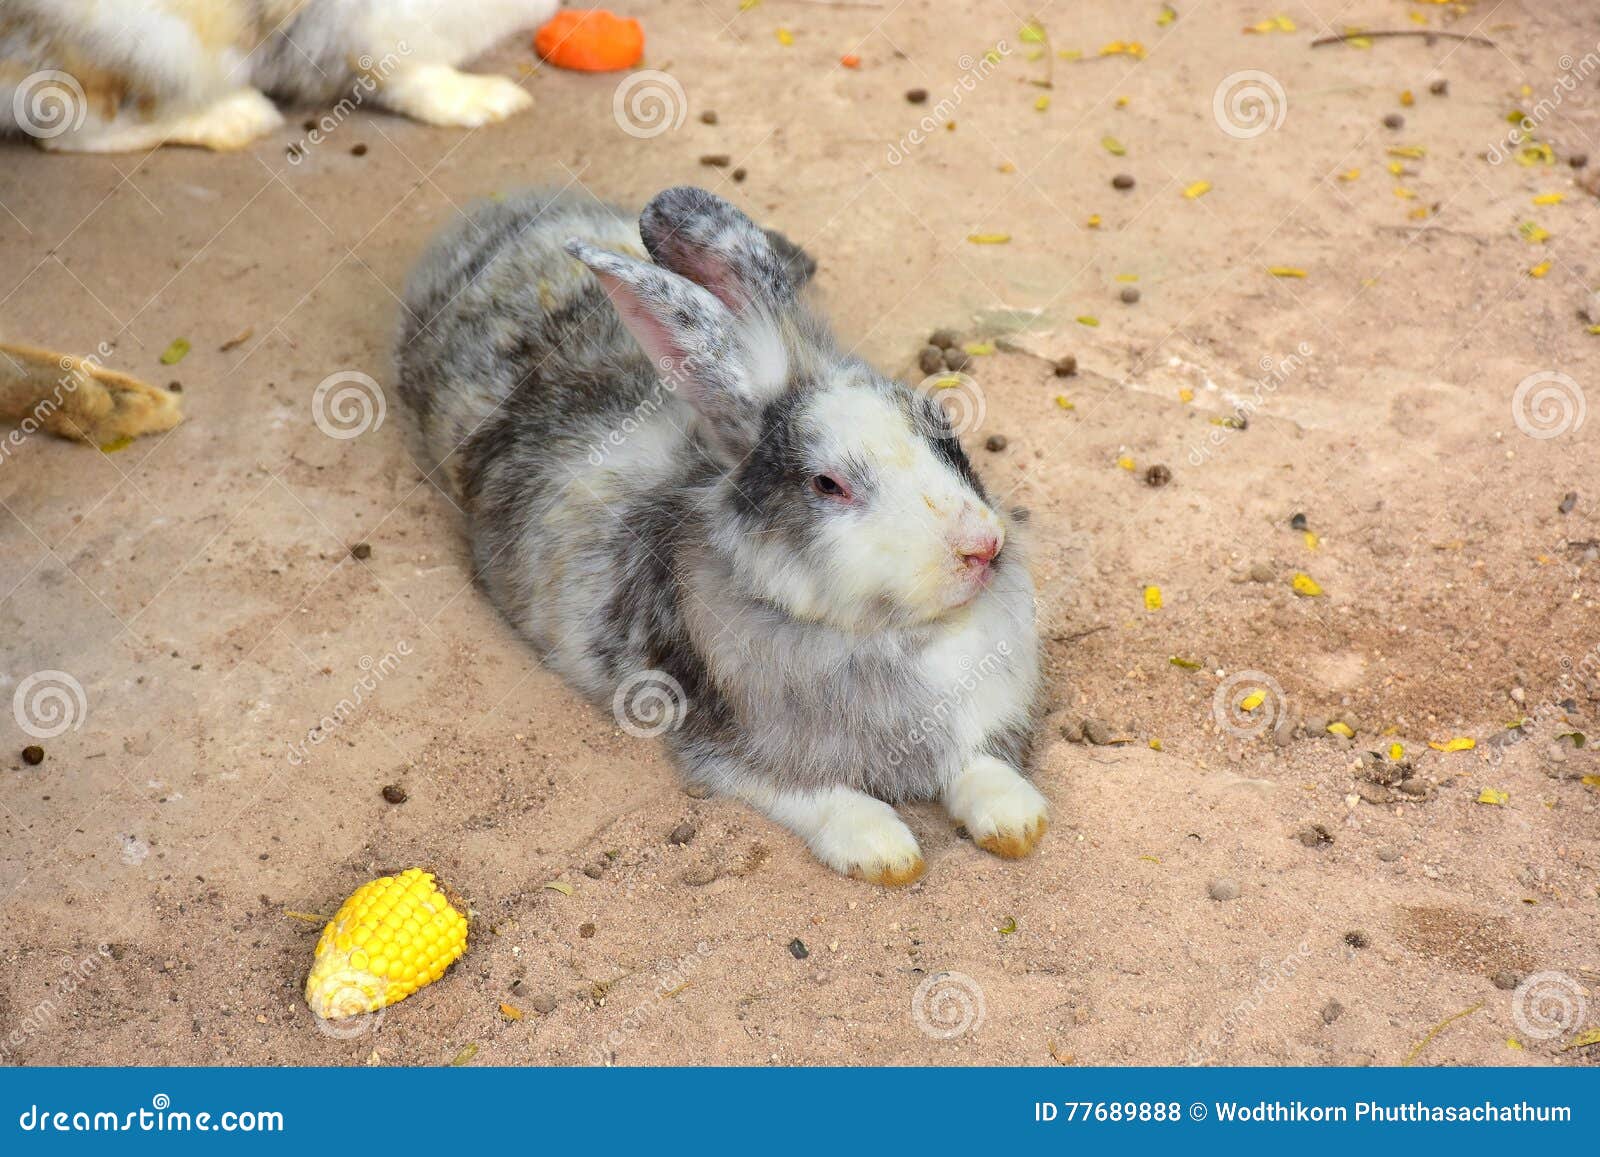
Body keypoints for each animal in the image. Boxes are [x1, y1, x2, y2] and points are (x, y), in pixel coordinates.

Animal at [0, 1, 558, 153]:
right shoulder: (380, 29)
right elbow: (410, 77)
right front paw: (487, 101)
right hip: (152, 43)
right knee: (74, 130)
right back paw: (238, 118)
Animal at [396, 186, 1046, 885]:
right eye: (828, 484)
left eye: (940, 425)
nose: (982, 547)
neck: (892, 638)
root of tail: (507, 220)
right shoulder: (729, 747)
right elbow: (821, 797)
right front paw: (885, 854)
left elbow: (980, 767)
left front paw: (1018, 823)